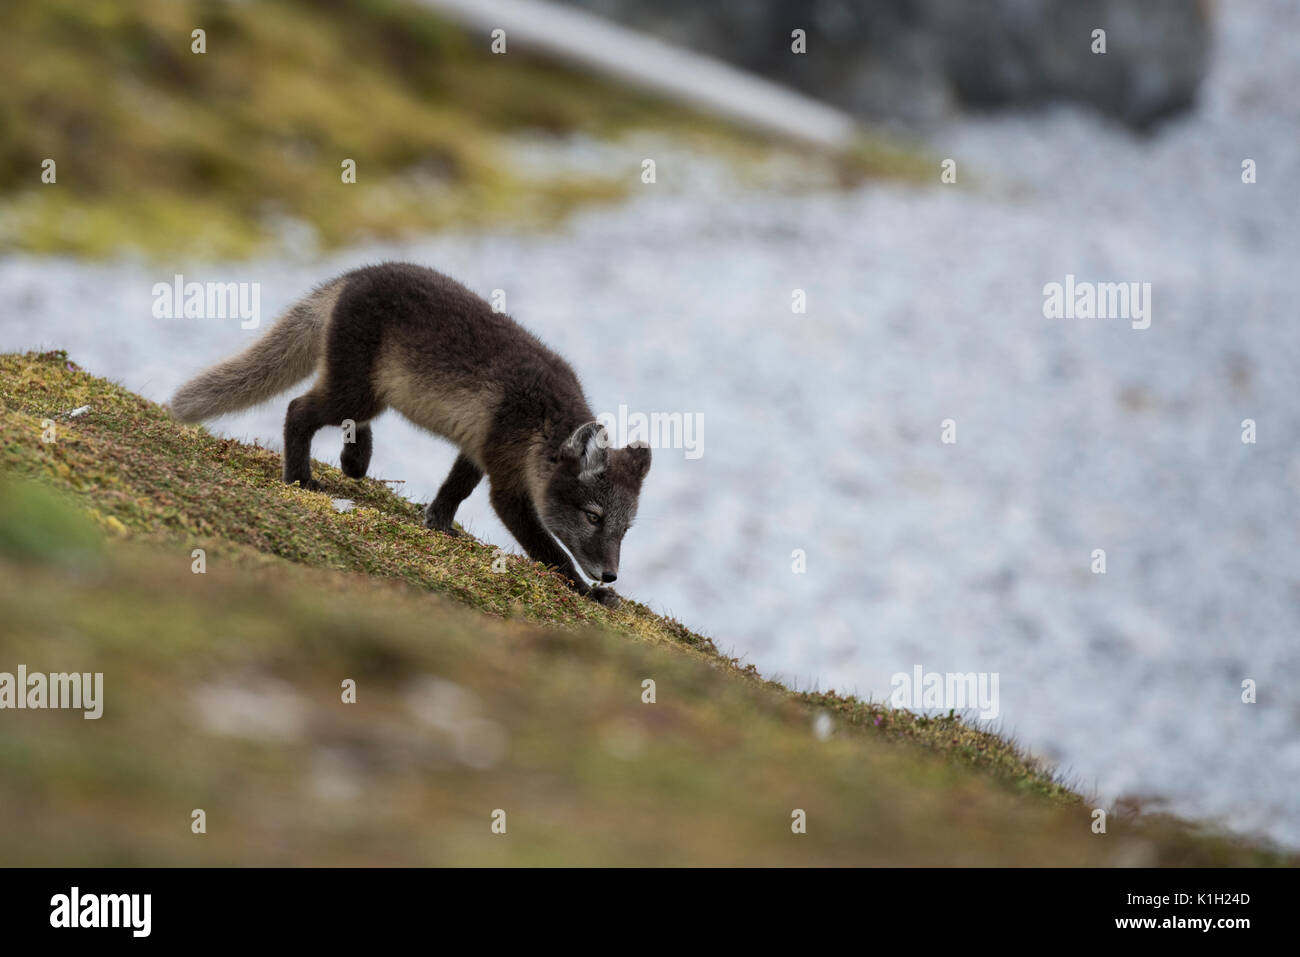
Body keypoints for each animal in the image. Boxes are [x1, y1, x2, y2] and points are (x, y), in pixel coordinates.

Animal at [170, 262, 649, 608]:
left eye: (626, 529)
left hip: (366, 393)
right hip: (356, 390)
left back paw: (355, 461)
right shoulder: (507, 485)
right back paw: (301, 478)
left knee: (345, 422)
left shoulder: (479, 448)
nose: (610, 574)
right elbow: (551, 552)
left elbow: (455, 489)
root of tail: (354, 275)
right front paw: (588, 593)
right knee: (298, 410)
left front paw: (438, 523)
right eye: (593, 517)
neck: (541, 422)